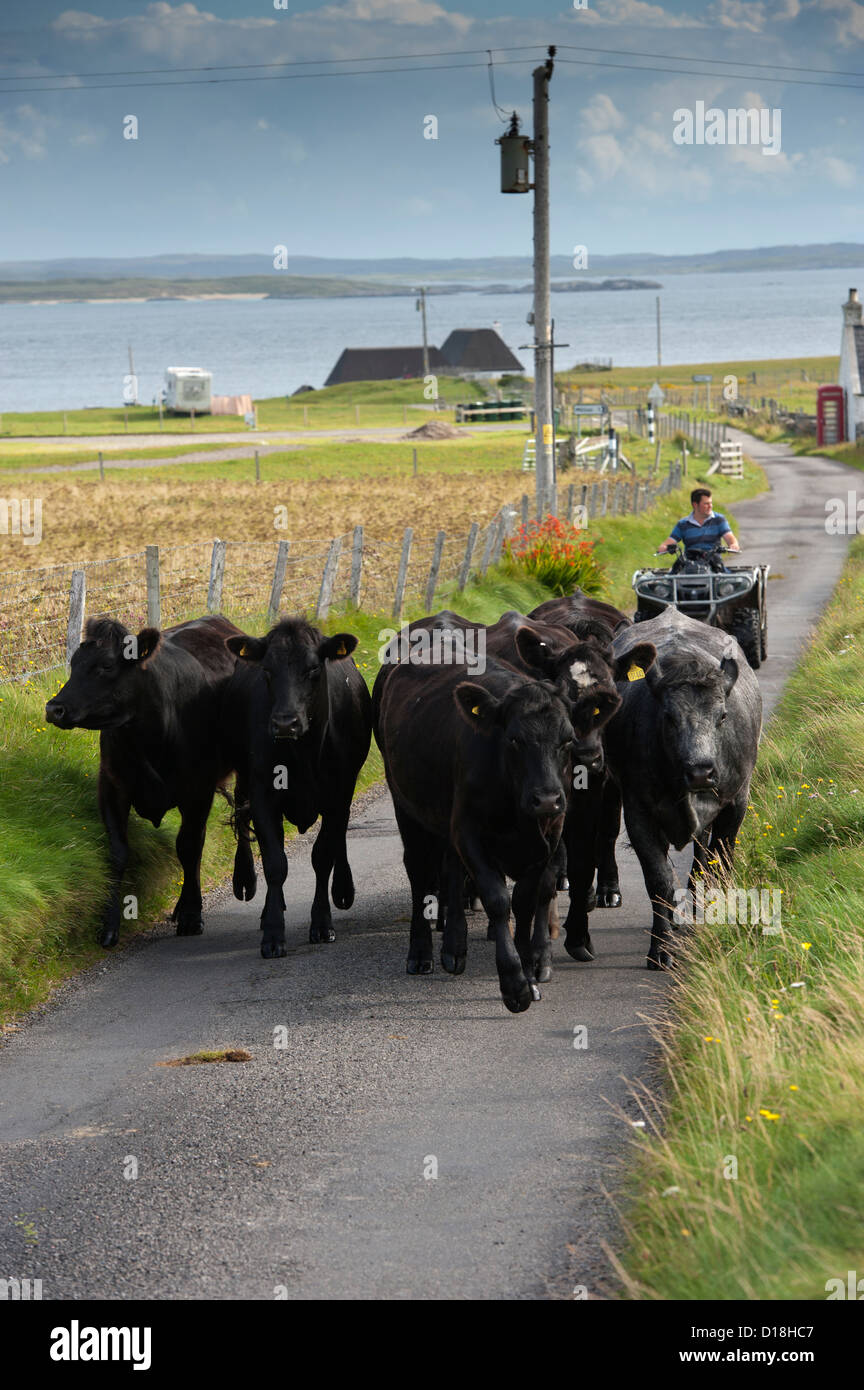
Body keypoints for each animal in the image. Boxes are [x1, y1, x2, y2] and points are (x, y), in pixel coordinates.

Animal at [45, 615, 245, 948]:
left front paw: (192, 915)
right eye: (73, 663)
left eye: (106, 666)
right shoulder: (111, 787)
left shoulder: (198, 791)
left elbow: (189, 846)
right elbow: (117, 853)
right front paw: (109, 926)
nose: (54, 708)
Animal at [220, 618, 372, 959]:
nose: (284, 722)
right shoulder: (262, 794)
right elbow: (275, 863)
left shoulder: (339, 793)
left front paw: (322, 923)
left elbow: (323, 855)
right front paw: (273, 933)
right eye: (267, 670)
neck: (303, 753)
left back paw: (343, 889)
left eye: (313, 668)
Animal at [373, 644, 574, 1013]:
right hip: (404, 802)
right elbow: (497, 899)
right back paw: (420, 953)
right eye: (514, 740)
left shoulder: (550, 836)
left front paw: (528, 975)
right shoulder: (468, 831)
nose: (547, 799)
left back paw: (454, 947)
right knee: (420, 872)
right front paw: (514, 985)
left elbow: (524, 901)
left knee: (451, 869)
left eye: (567, 740)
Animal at [605, 607, 762, 969]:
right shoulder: (638, 812)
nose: (701, 772)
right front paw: (661, 949)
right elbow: (659, 880)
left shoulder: (735, 803)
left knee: (702, 862)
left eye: (722, 716)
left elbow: (721, 866)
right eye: (669, 716)